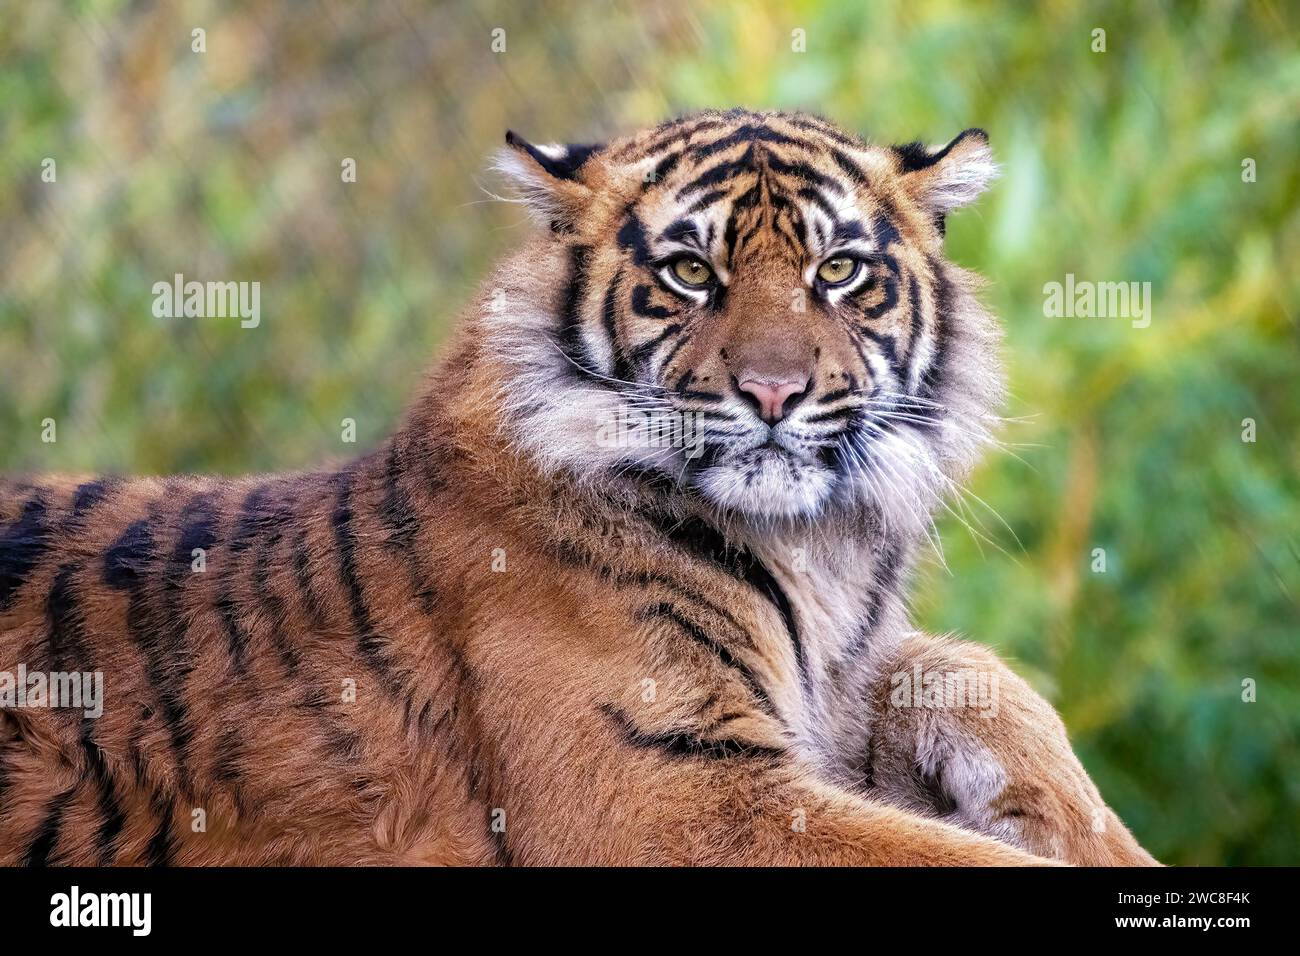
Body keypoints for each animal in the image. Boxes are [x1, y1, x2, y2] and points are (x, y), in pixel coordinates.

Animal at [0, 108, 1158, 866]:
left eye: (837, 271)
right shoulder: (663, 790)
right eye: (691, 272)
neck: (811, 545)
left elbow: (970, 670)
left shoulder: (826, 688)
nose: (774, 390)